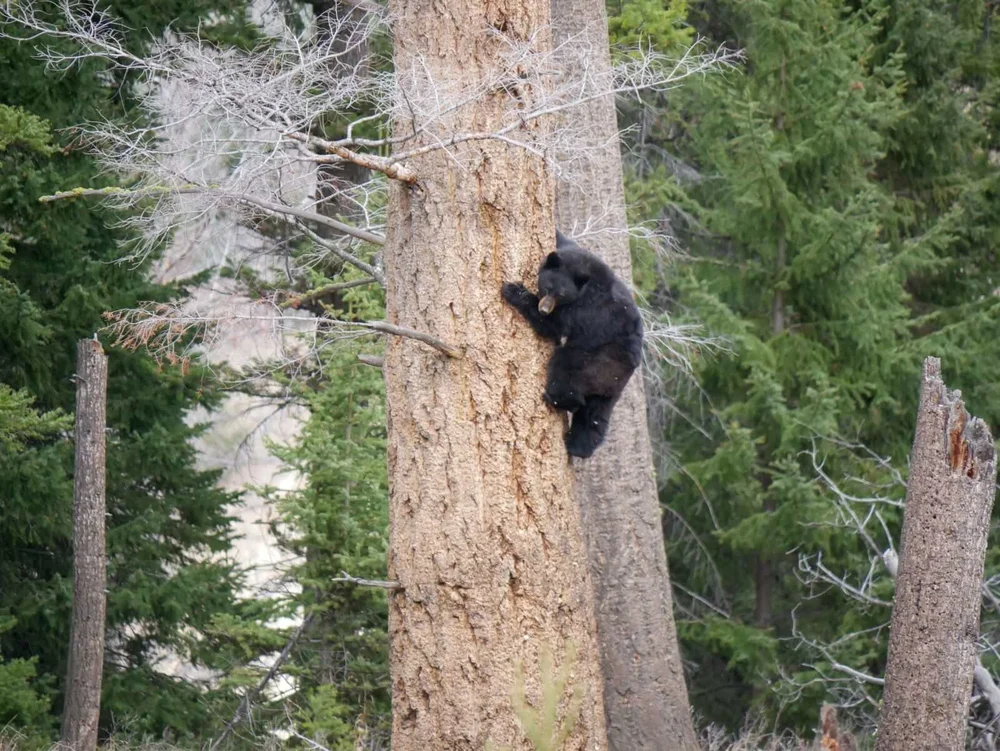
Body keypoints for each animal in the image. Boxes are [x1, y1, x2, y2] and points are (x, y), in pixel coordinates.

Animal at [501, 230, 643, 459]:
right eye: (547, 287)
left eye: (561, 295)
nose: (544, 309)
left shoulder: (584, 310)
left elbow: (553, 327)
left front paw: (514, 290)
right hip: (611, 389)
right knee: (594, 417)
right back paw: (578, 446)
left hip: (594, 359)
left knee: (566, 370)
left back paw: (556, 399)